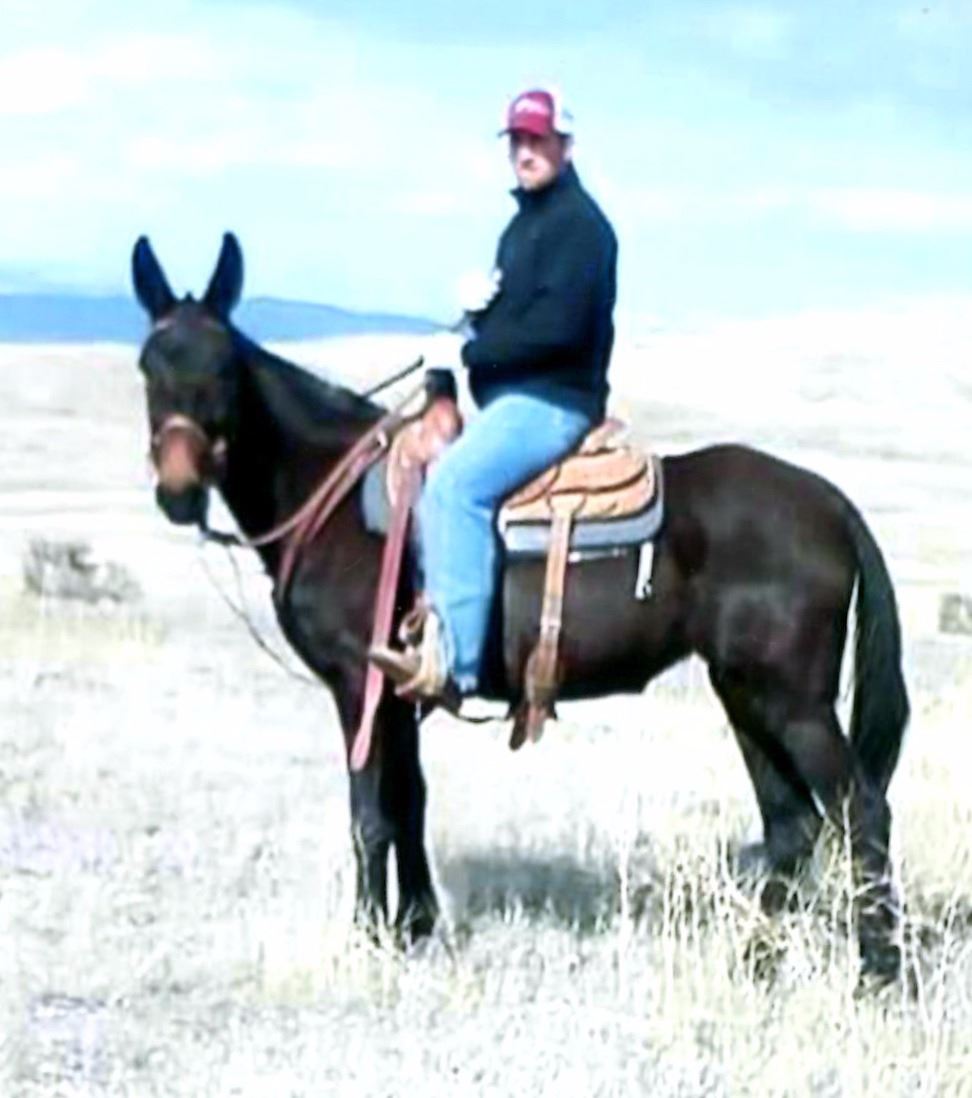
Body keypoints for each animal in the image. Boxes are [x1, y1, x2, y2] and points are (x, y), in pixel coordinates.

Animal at [131, 232, 909, 982]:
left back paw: (878, 971)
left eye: (224, 370)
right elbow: (410, 804)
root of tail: (831, 505)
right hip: (745, 694)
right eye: (147, 366)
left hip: (794, 701)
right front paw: (416, 926)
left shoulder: (360, 687)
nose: (178, 492)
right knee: (792, 825)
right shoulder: (402, 694)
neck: (340, 496)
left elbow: (370, 816)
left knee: (860, 810)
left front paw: (371, 939)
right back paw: (754, 963)